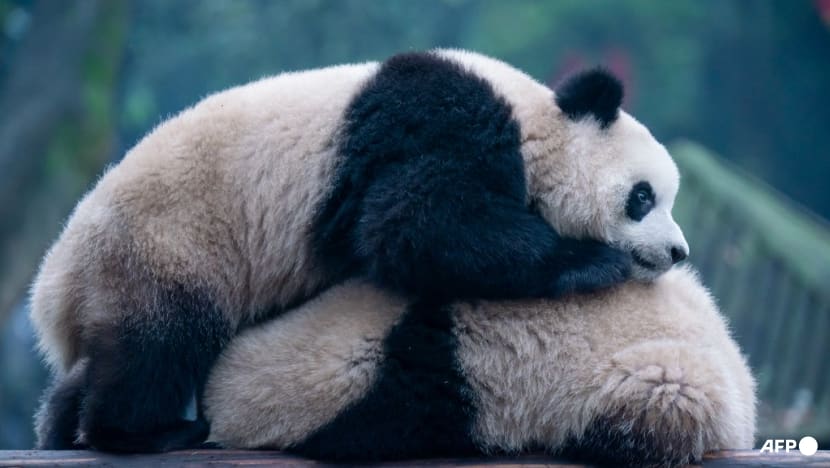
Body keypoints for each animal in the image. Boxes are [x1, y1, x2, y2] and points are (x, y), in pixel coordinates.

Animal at [30, 49, 689, 452]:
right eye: (643, 197)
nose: (678, 251)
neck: (535, 124)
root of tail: (52, 290)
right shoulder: (444, 121)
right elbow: (415, 225)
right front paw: (591, 263)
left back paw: (64, 423)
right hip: (162, 247)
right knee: (158, 346)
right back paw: (147, 432)